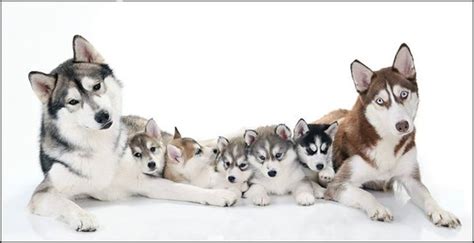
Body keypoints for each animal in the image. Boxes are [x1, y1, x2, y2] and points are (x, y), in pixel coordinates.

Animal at [26, 34, 237, 232]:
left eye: (96, 86)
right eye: (73, 101)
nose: (103, 115)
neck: (99, 146)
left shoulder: (144, 180)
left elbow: (184, 188)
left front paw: (218, 194)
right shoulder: (44, 193)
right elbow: (65, 202)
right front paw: (83, 216)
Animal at [324, 43, 462, 228]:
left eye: (403, 94)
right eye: (380, 101)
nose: (402, 125)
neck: (387, 141)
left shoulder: (411, 178)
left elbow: (427, 195)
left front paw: (441, 212)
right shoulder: (338, 184)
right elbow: (364, 193)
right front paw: (378, 208)